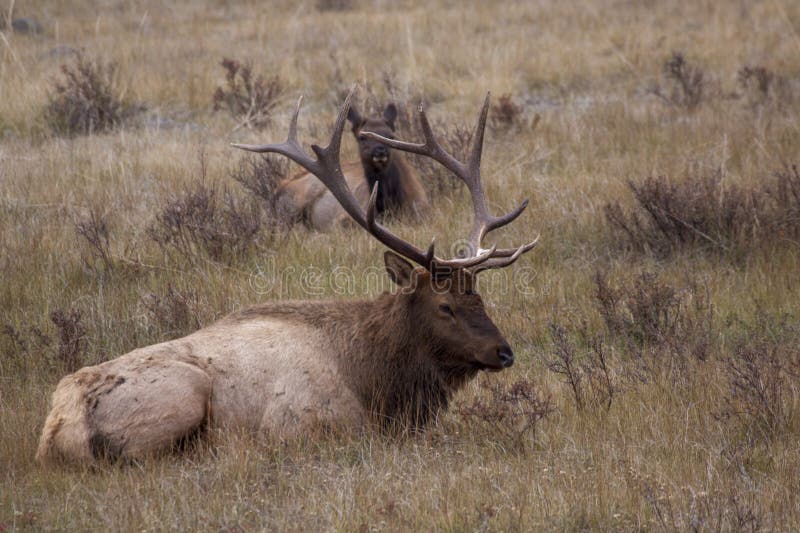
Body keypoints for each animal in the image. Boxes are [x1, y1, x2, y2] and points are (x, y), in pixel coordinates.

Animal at [36, 86, 538, 464]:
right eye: (444, 305)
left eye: (480, 298)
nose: (505, 351)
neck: (376, 380)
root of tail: (57, 429)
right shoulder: (304, 424)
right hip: (182, 394)